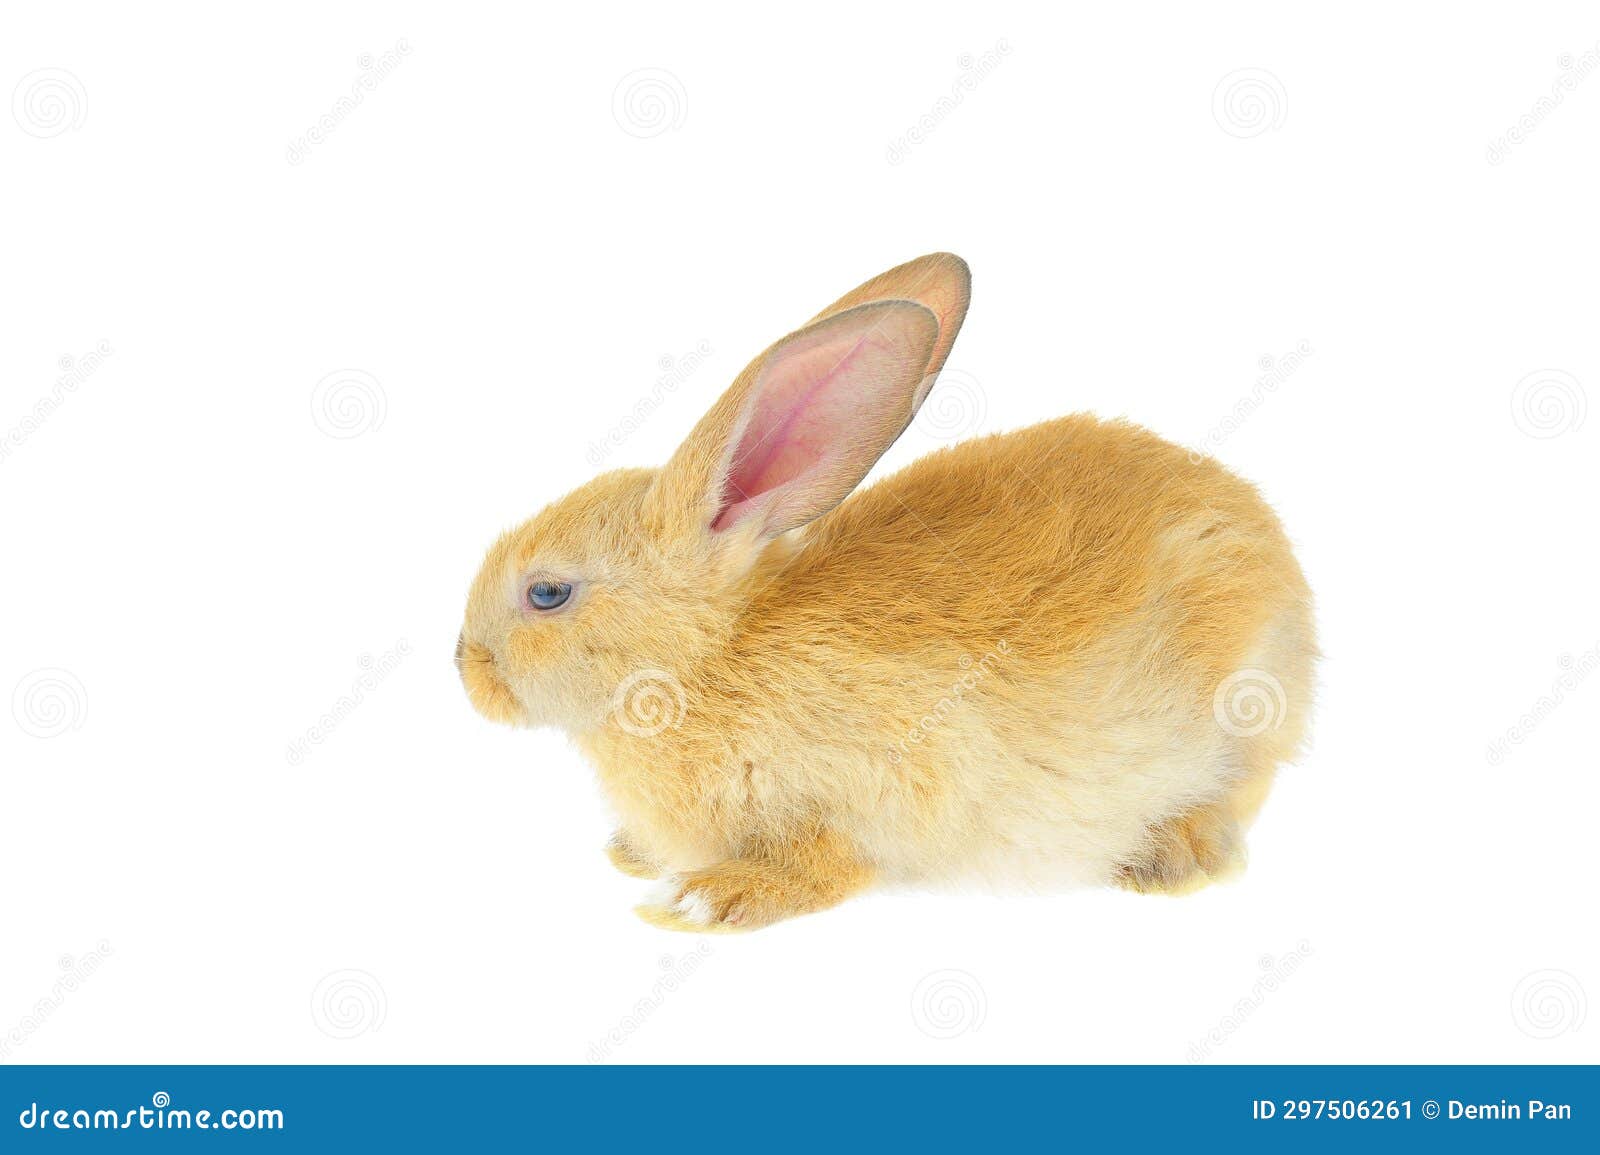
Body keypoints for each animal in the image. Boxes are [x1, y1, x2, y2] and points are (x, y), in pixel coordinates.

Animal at [456, 253, 1315, 931]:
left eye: (548, 593)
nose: (466, 668)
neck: (707, 663)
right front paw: (635, 855)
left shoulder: (870, 791)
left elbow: (823, 862)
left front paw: (704, 898)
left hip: (1242, 705)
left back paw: (1172, 857)